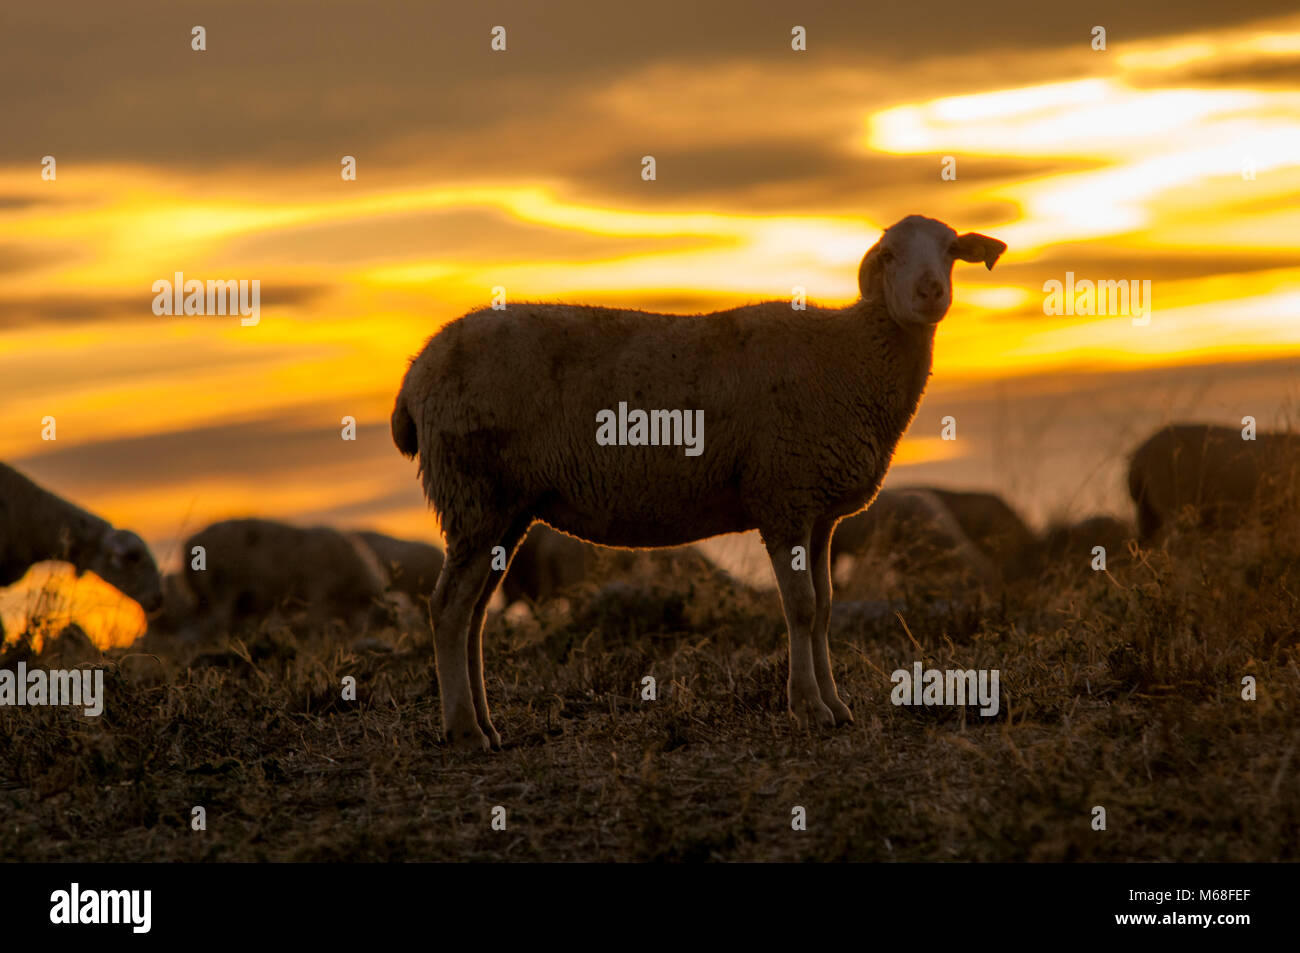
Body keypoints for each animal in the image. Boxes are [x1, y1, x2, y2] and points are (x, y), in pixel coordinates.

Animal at [392, 213, 1005, 750]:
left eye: (951, 250)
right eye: (890, 255)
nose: (929, 292)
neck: (850, 355)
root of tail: (416, 371)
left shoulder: (818, 512)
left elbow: (827, 606)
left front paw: (835, 704)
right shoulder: (783, 495)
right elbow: (802, 607)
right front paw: (809, 707)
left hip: (503, 510)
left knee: (473, 616)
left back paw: (484, 724)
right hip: (475, 493)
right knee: (448, 609)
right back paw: (465, 732)